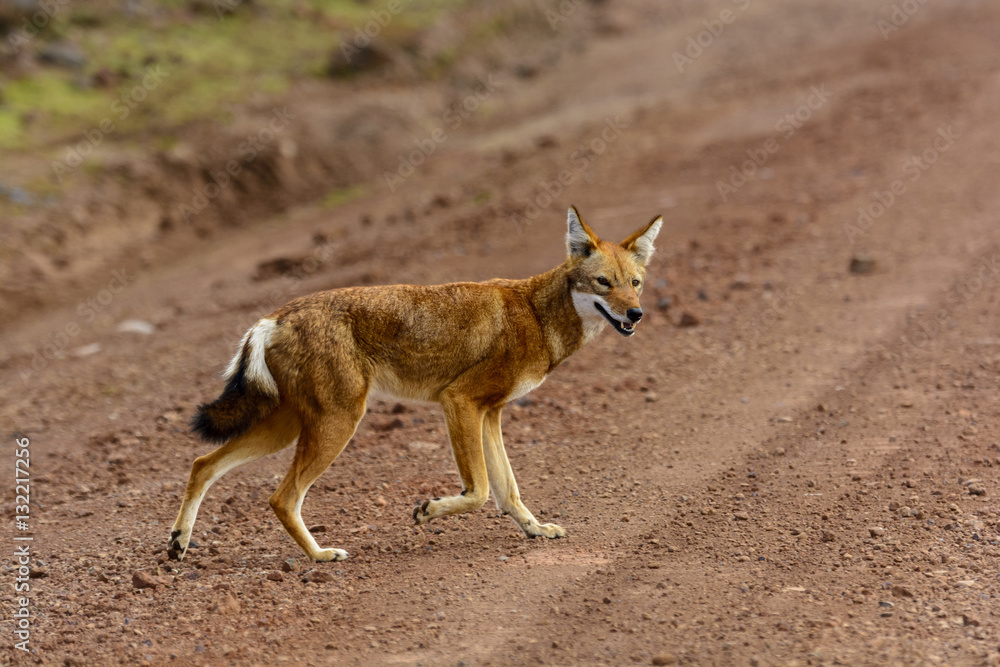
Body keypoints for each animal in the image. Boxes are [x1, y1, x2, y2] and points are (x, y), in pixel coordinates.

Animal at [168, 206, 662, 562]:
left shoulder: (490, 412)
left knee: (202, 464)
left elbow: (508, 490)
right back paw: (321, 556)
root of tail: (272, 317)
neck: (538, 316)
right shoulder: (459, 401)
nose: (636, 315)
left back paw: (178, 543)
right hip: (336, 425)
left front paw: (534, 529)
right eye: (603, 282)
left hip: (288, 428)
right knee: (280, 497)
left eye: (635, 283)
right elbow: (480, 491)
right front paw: (428, 511)